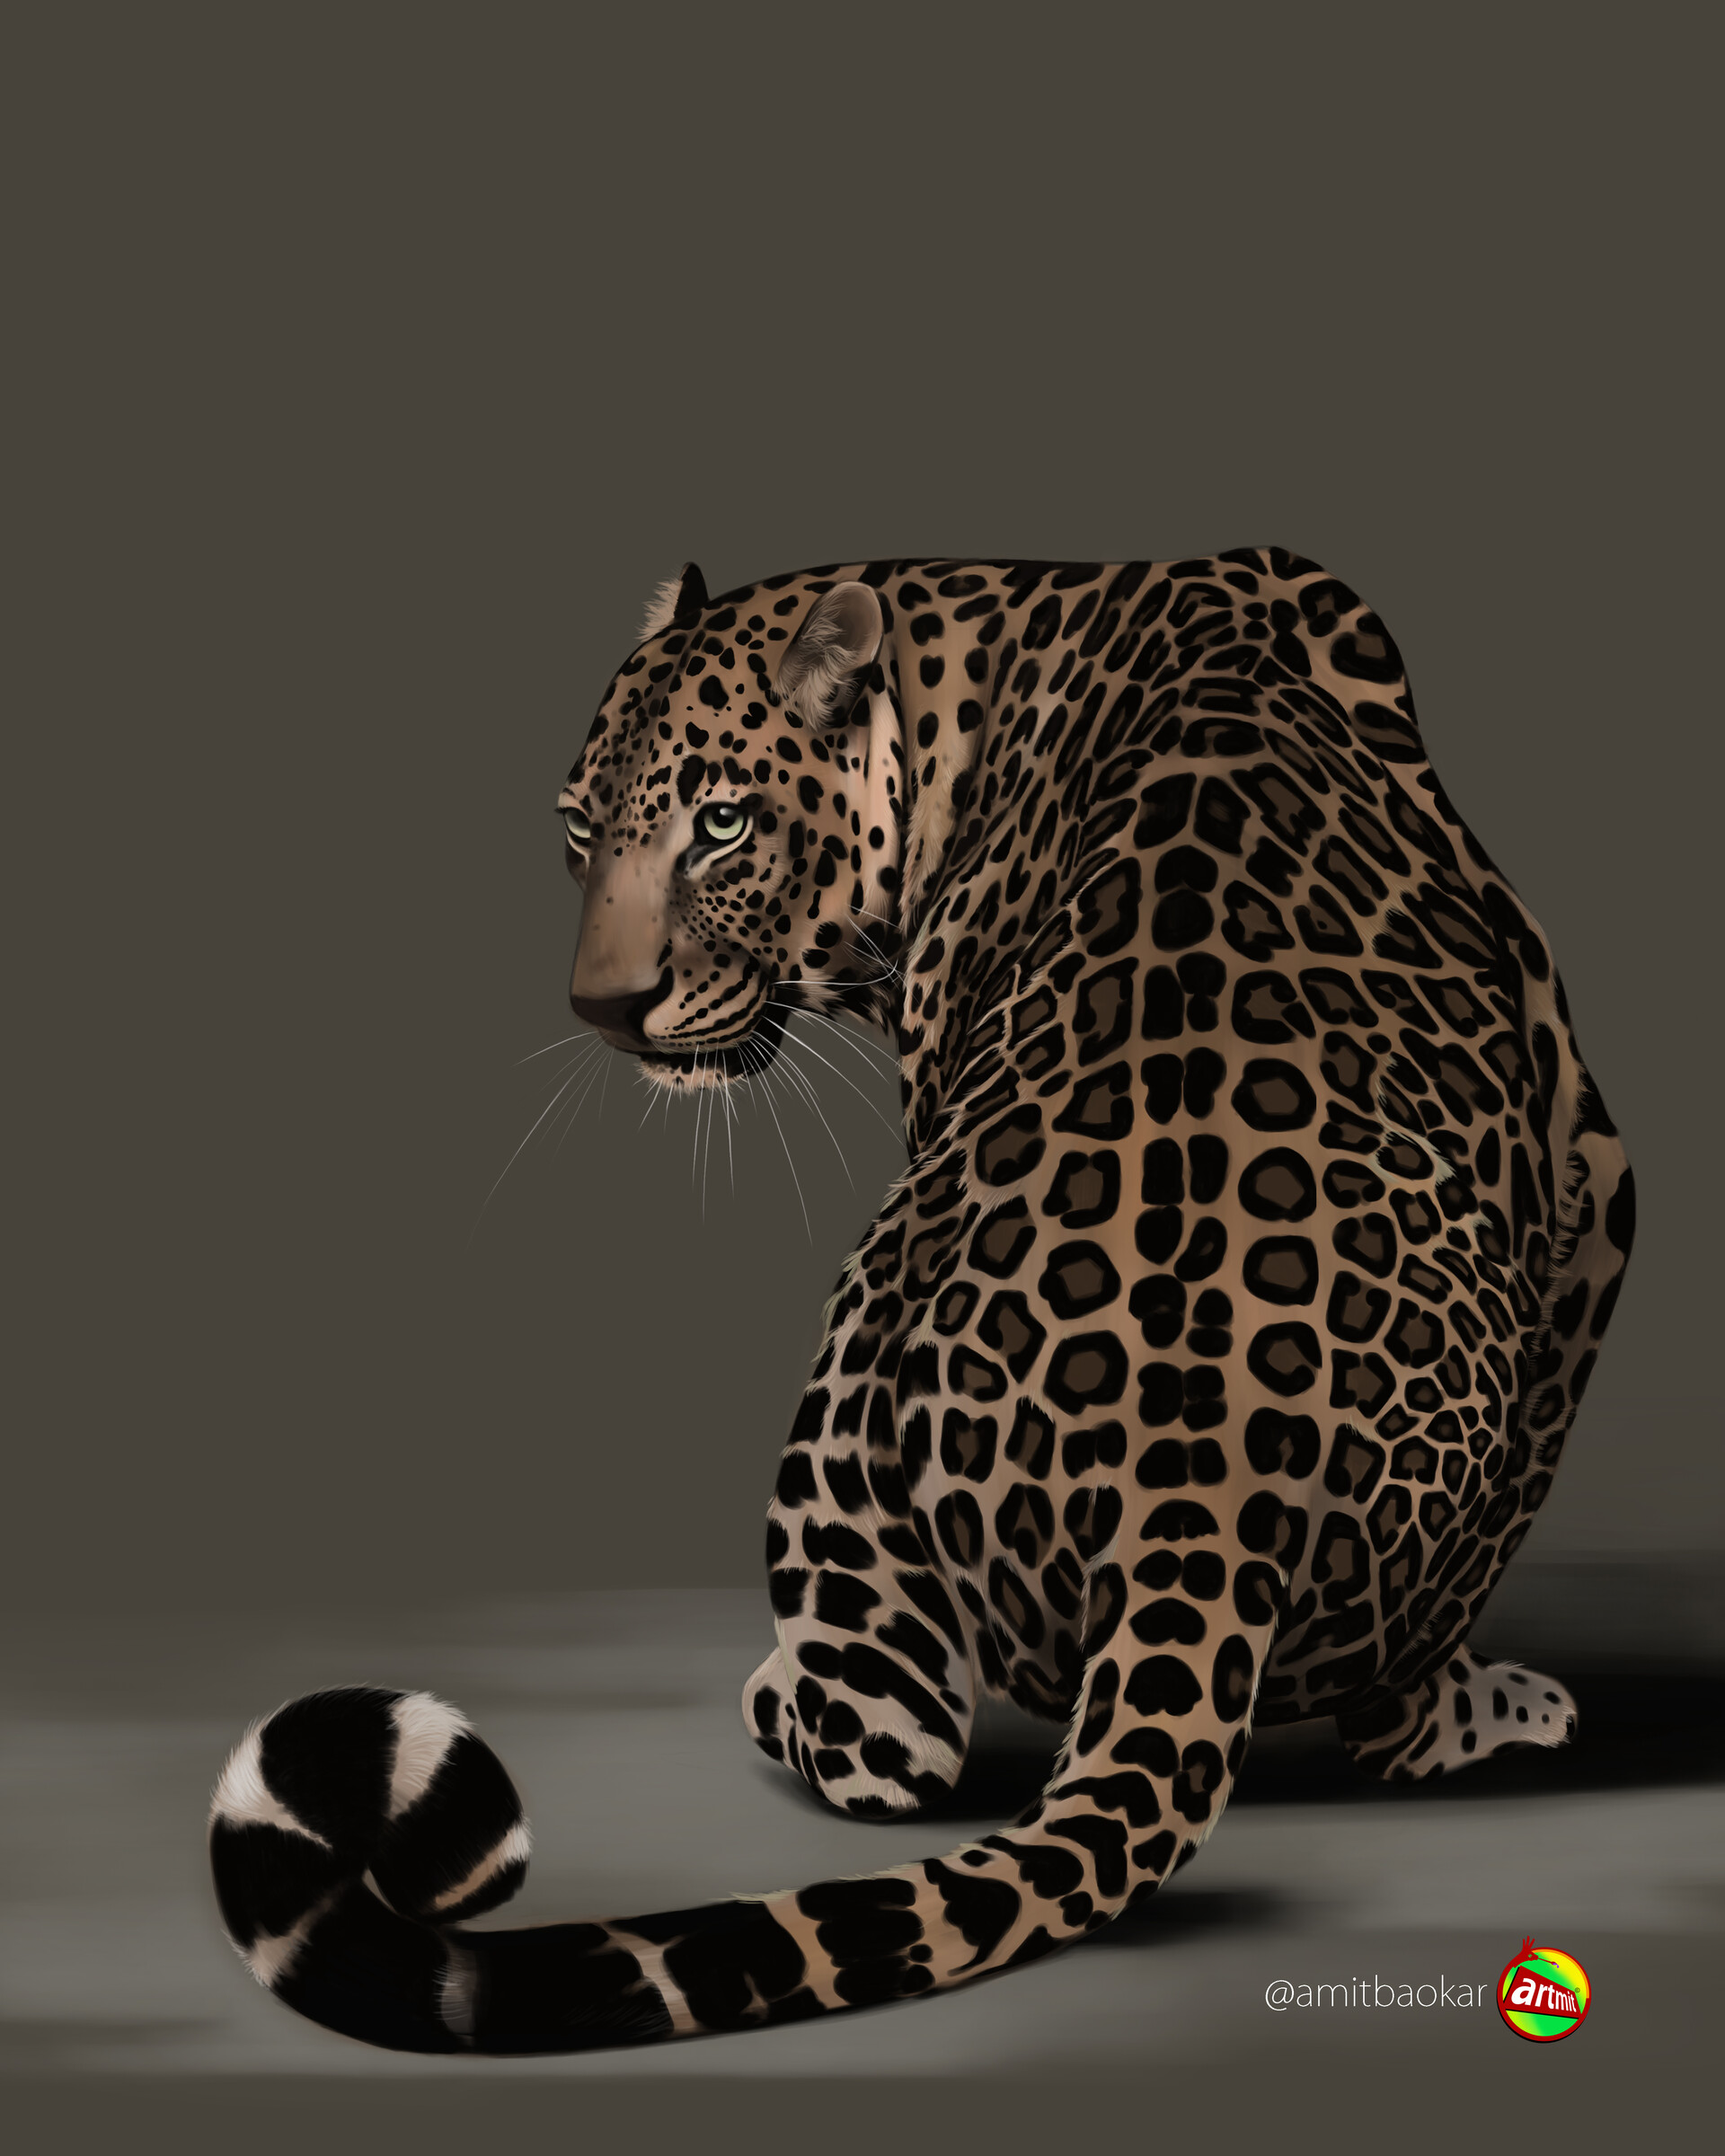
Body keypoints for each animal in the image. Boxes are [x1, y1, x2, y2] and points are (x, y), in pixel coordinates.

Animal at [208, 549, 1633, 2053]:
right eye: (578, 829)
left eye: (722, 825)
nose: (605, 1010)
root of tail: (1204, 1489)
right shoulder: (1587, 1141)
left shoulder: (1598, 1165)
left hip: (858, 1337)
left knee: (900, 1752)